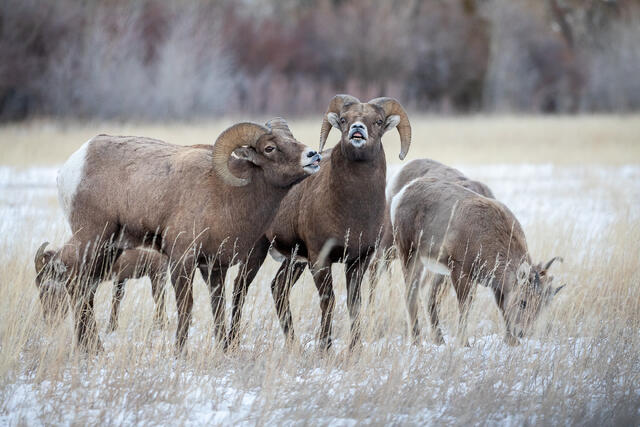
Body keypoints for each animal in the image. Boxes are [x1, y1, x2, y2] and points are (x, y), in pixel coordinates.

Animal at [264, 94, 411, 350]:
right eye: (344, 119)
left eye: (378, 121)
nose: (357, 129)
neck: (352, 210)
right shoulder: (320, 260)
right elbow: (328, 301)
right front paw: (325, 346)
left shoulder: (358, 261)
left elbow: (354, 304)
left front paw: (354, 348)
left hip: (294, 261)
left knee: (278, 289)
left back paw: (293, 345)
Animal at [390, 178, 564, 346]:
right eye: (523, 302)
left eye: (543, 307)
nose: (521, 332)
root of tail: (399, 196)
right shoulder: (460, 269)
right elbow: (465, 307)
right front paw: (464, 343)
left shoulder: (495, 285)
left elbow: (502, 308)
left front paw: (511, 341)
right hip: (409, 252)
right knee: (410, 294)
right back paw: (416, 341)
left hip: (437, 269)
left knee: (428, 296)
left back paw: (439, 340)